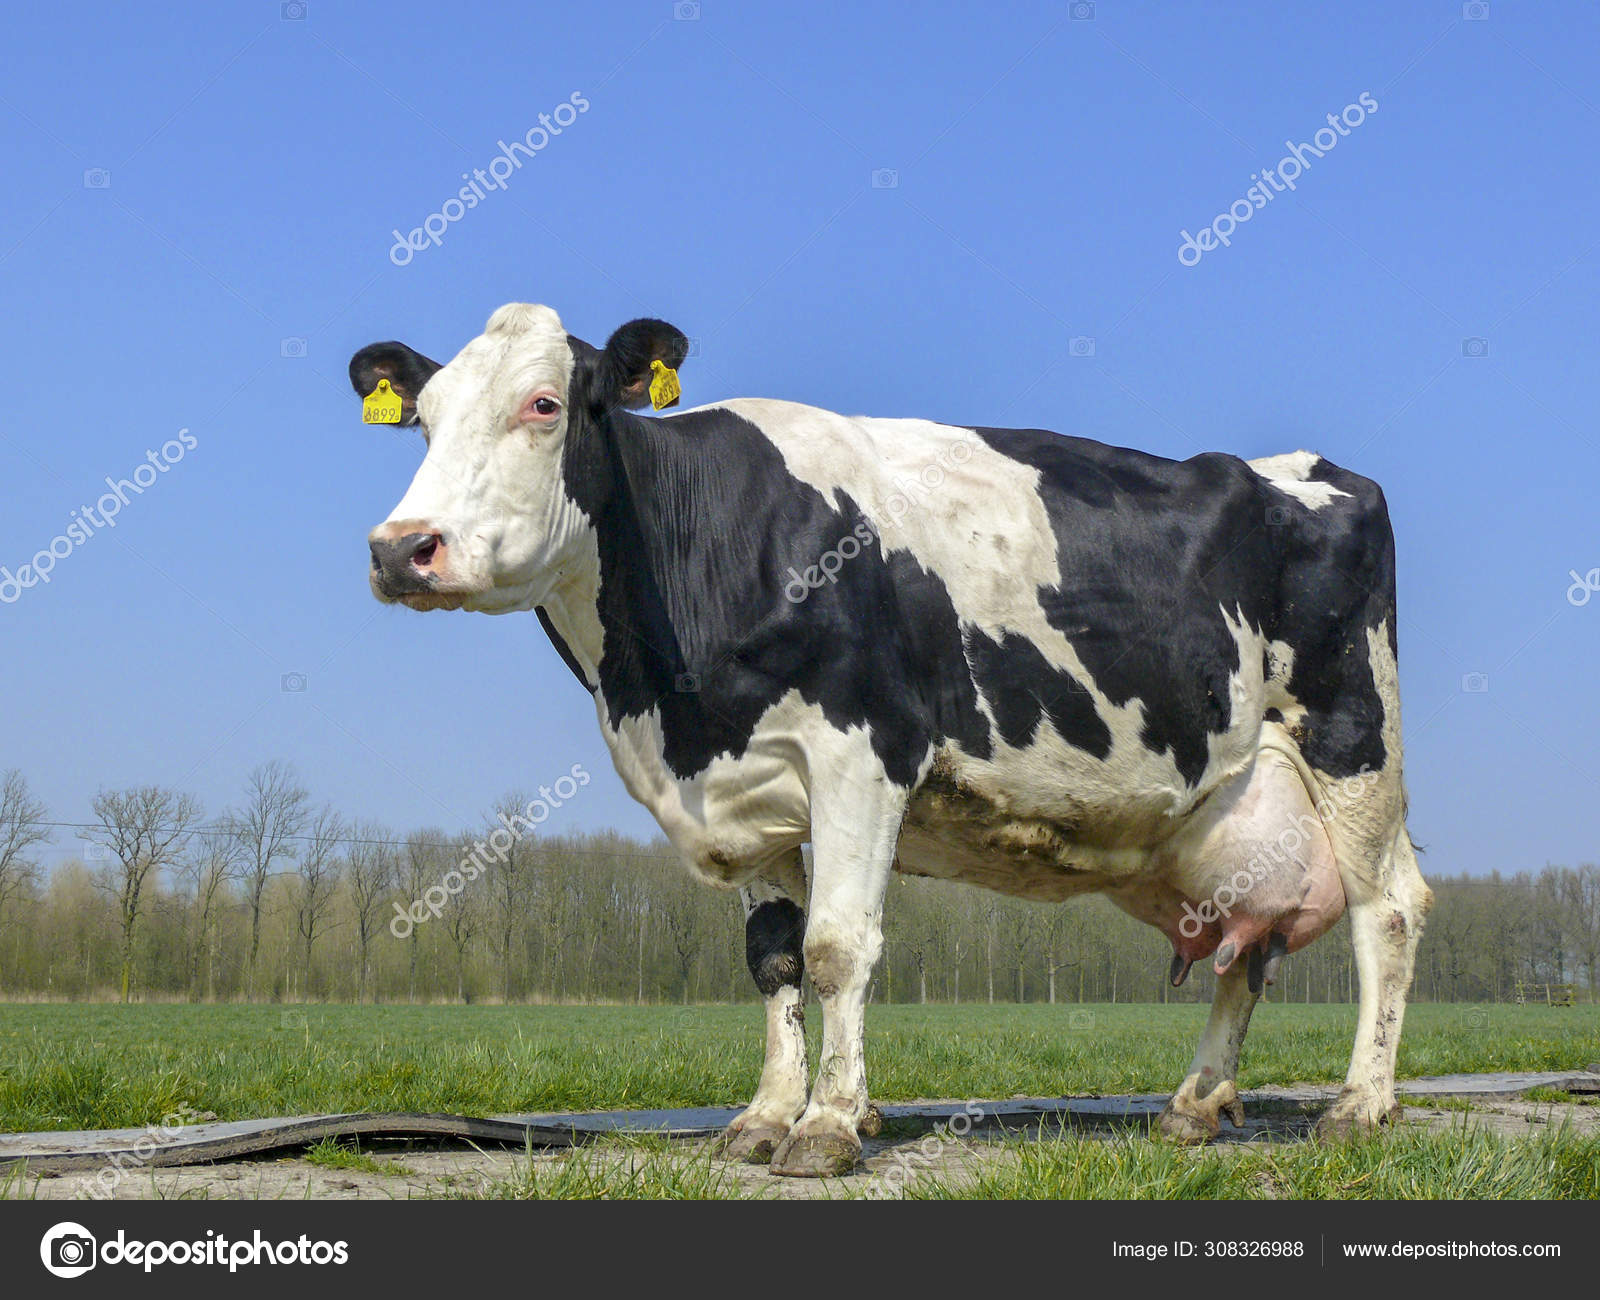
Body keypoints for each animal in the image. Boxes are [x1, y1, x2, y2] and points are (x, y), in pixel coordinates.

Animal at [350, 303, 1432, 1177]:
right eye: (423, 419)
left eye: (543, 405)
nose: (402, 548)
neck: (670, 707)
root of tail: (1302, 469)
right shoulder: (753, 791)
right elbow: (774, 959)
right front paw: (765, 1117)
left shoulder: (861, 754)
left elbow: (837, 948)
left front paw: (827, 1127)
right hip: (1237, 811)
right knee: (1244, 946)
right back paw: (1195, 1107)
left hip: (1353, 743)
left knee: (1389, 910)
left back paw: (1358, 1106)